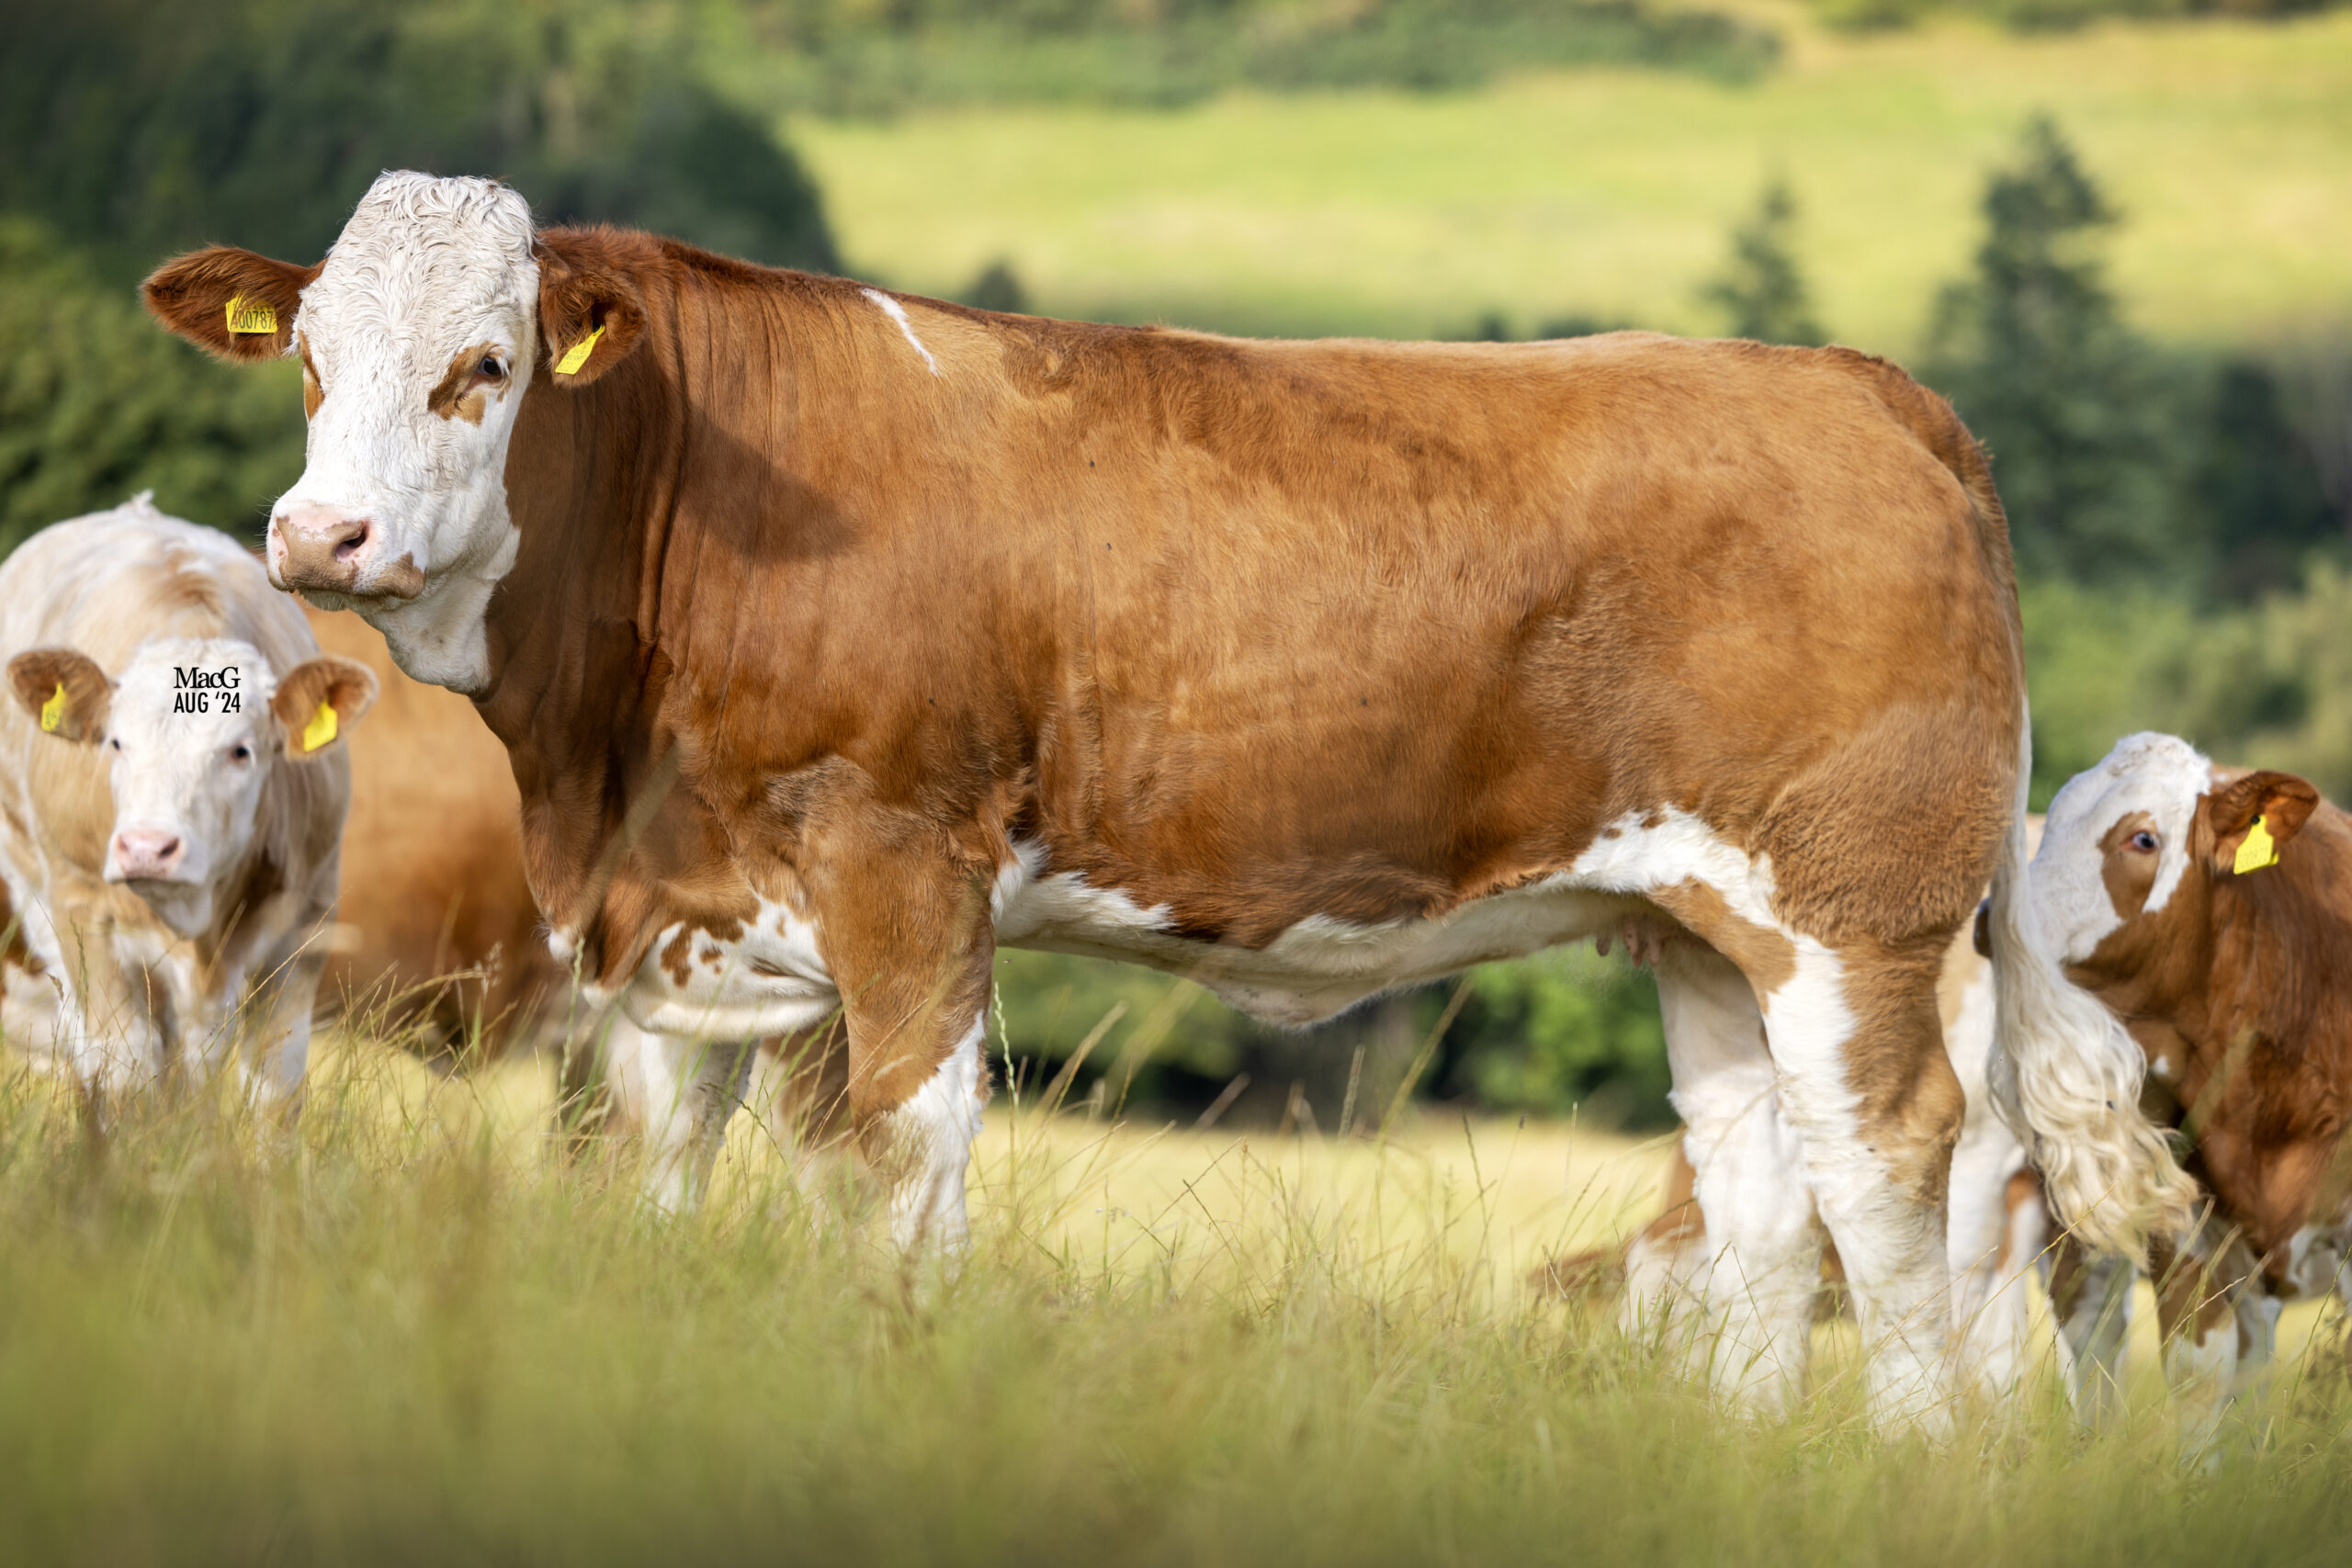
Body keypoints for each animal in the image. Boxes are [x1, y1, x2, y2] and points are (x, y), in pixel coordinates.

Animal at [0, 496, 376, 1107]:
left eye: (241, 751)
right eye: (115, 743)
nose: (146, 849)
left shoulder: (306, 924)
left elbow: (274, 1084)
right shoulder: (85, 915)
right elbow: (123, 1067)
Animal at [139, 169, 2189, 1428]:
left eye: (482, 369)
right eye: (308, 360)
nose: (319, 535)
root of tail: (1862, 388)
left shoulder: (906, 865)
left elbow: (902, 1168)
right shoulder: (679, 924)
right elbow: (661, 1168)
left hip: (1856, 914)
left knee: (1903, 1181)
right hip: (1696, 924)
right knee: (1761, 1193)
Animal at [2018, 731, 2352, 1444]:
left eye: (2143, 838)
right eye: (2049, 826)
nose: (1993, 918)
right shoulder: (2192, 1239)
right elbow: (2197, 1376)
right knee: (2096, 1345)